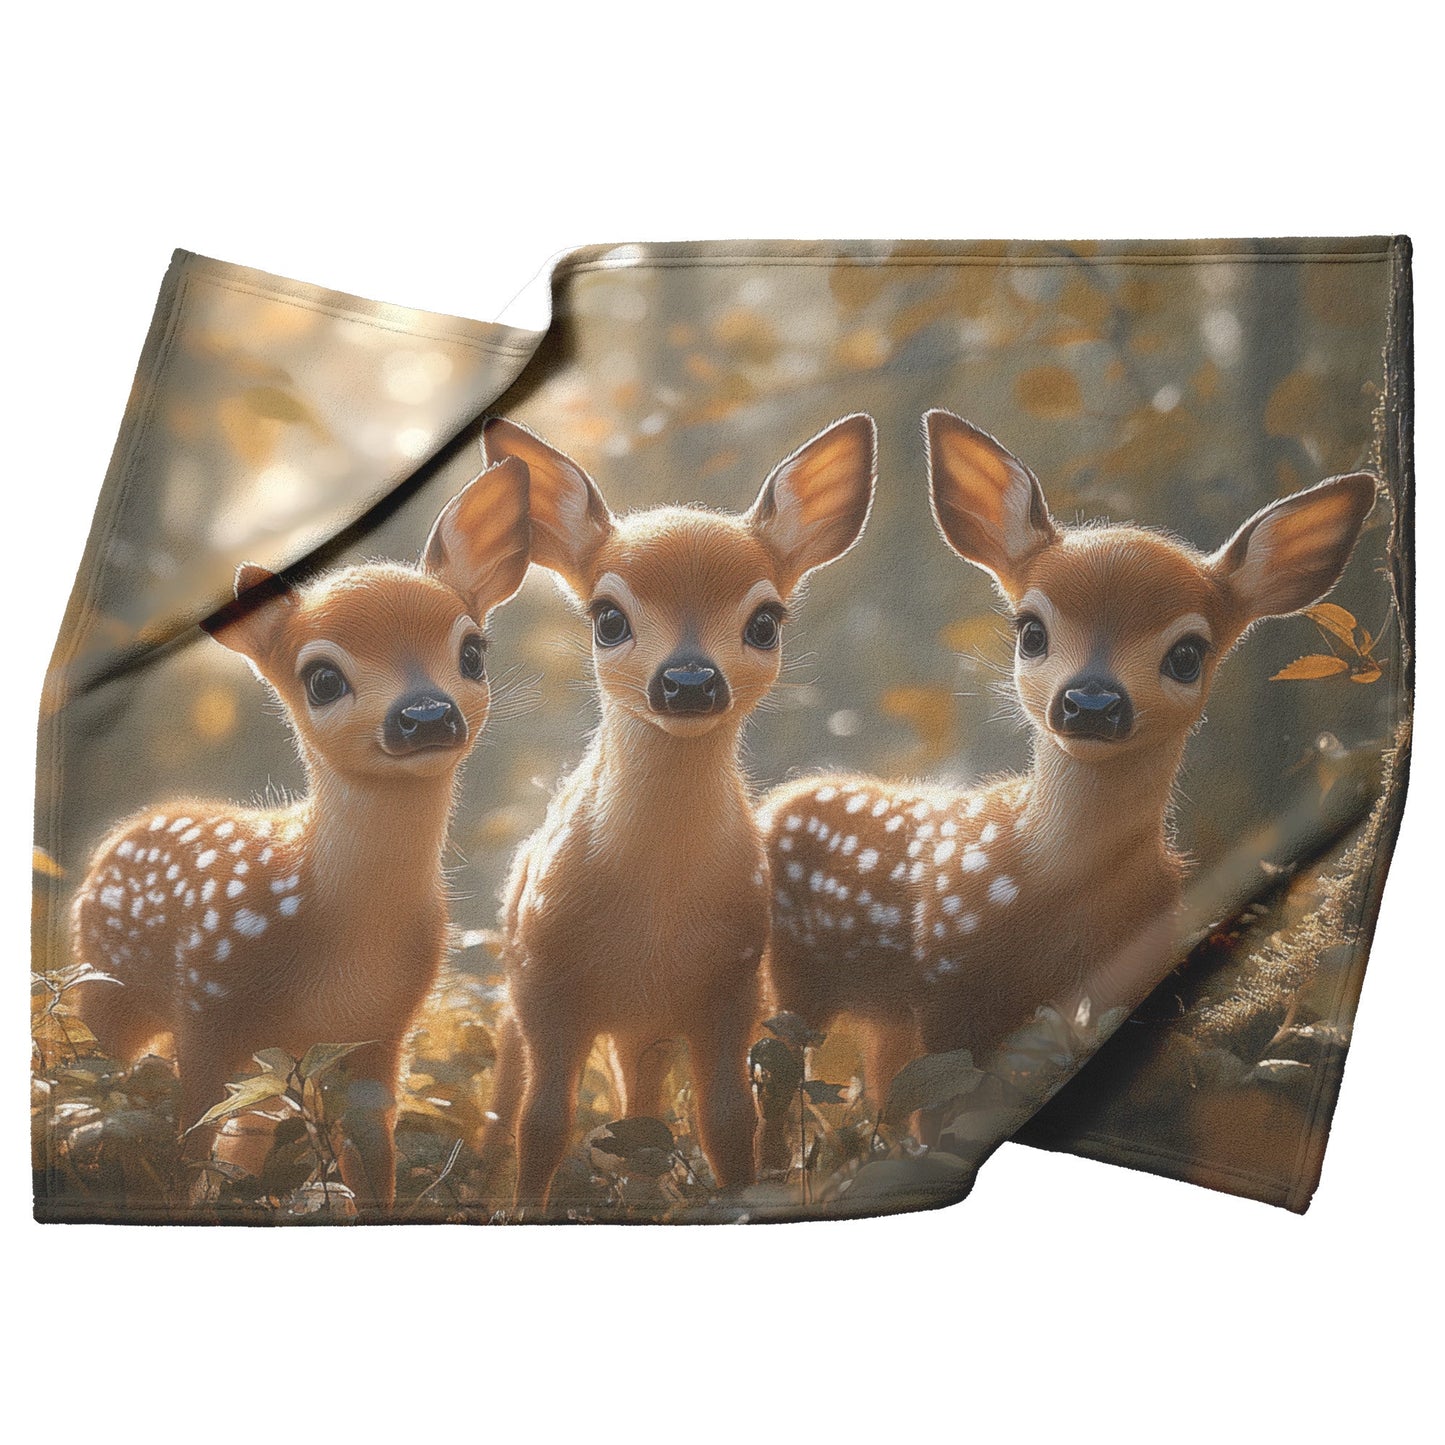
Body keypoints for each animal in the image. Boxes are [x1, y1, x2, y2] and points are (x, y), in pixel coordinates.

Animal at [68, 456, 531, 1212]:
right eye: (322, 678)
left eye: (472, 652)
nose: (425, 714)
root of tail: (116, 833)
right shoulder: (210, 1005)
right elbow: (189, 1144)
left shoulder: (382, 1028)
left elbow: (373, 1161)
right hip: (107, 985)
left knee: (245, 1136)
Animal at [476, 413, 876, 1211]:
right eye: (607, 617)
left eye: (765, 621)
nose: (688, 680)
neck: (652, 914)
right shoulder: (547, 982)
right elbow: (543, 1123)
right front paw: (525, 1213)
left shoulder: (731, 983)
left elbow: (728, 1121)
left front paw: (741, 1200)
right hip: (516, 987)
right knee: (506, 1108)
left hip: (646, 1027)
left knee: (644, 1111)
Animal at [759, 409, 1376, 1160]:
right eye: (1030, 630)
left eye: (1187, 653)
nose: (1091, 701)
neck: (1056, 890)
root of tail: (775, 801)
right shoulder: (948, 967)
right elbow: (943, 1110)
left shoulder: (1131, 957)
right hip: (793, 972)